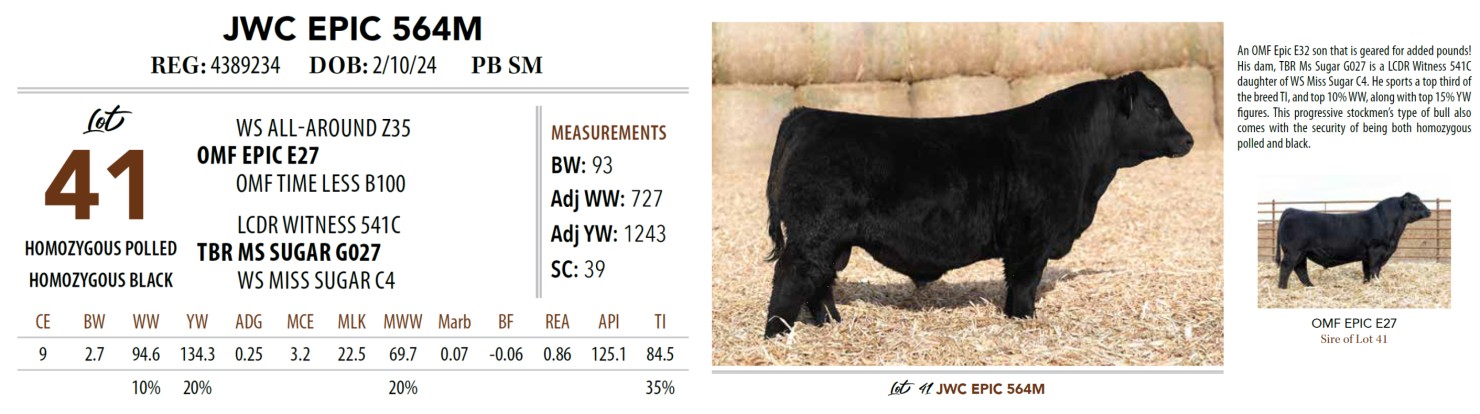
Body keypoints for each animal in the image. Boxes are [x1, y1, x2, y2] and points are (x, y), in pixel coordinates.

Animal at [762, 71, 1194, 337]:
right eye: (1154, 106)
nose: (1188, 139)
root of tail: (807, 115)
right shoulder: (1031, 239)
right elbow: (1024, 283)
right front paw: (1024, 318)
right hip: (814, 233)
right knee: (793, 276)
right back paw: (778, 333)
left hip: (833, 241)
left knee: (820, 281)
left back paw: (832, 324)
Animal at [1273, 193, 1432, 288]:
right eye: (1415, 202)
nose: (1429, 211)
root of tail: (1292, 210)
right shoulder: (1376, 251)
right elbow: (1375, 269)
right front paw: (1376, 284)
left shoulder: (1367, 255)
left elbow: (1367, 271)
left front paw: (1366, 284)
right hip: (1293, 251)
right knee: (1286, 267)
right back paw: (1283, 288)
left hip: (1302, 253)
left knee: (1300, 269)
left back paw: (1310, 286)